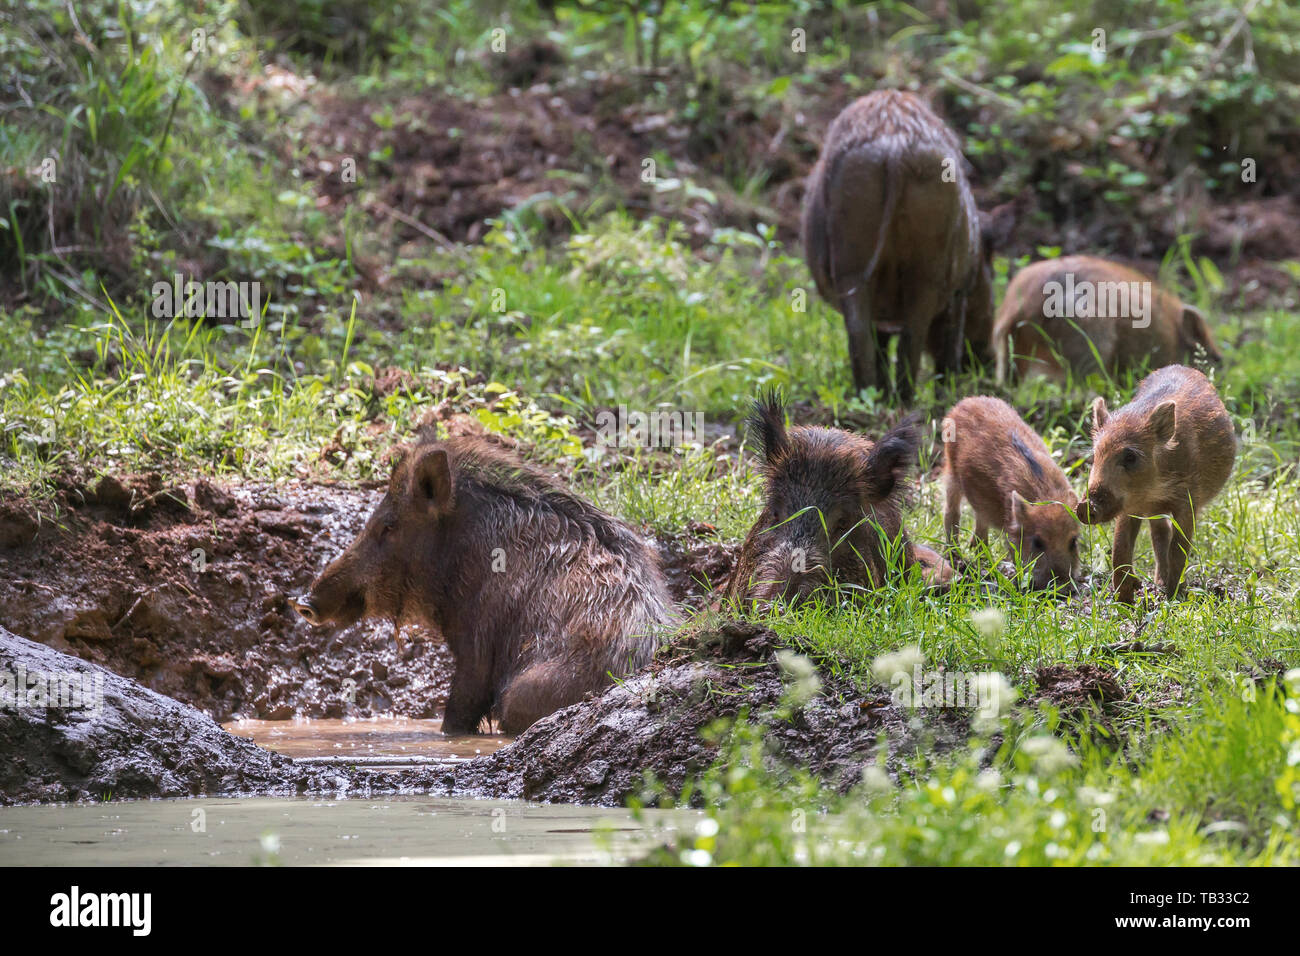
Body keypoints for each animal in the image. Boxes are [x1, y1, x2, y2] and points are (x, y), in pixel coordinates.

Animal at [802, 90, 1015, 403]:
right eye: (991, 272)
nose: (987, 362)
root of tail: (895, 148)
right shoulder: (959, 291)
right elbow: (948, 342)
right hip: (927, 268)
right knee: (912, 338)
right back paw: (908, 400)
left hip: (853, 260)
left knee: (862, 336)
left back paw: (874, 398)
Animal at [941, 396, 1081, 590]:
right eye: (1037, 542)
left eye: (1073, 541)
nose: (1061, 586)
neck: (1043, 495)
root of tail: (965, 401)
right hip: (952, 473)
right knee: (951, 512)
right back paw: (954, 554)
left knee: (980, 523)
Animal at [1076, 365, 1236, 603]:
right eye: (1095, 456)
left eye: (1130, 456)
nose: (1084, 506)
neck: (1153, 491)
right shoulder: (1129, 506)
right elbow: (1120, 550)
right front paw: (1124, 602)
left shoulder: (1188, 501)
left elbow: (1178, 550)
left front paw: (1173, 596)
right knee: (1159, 533)